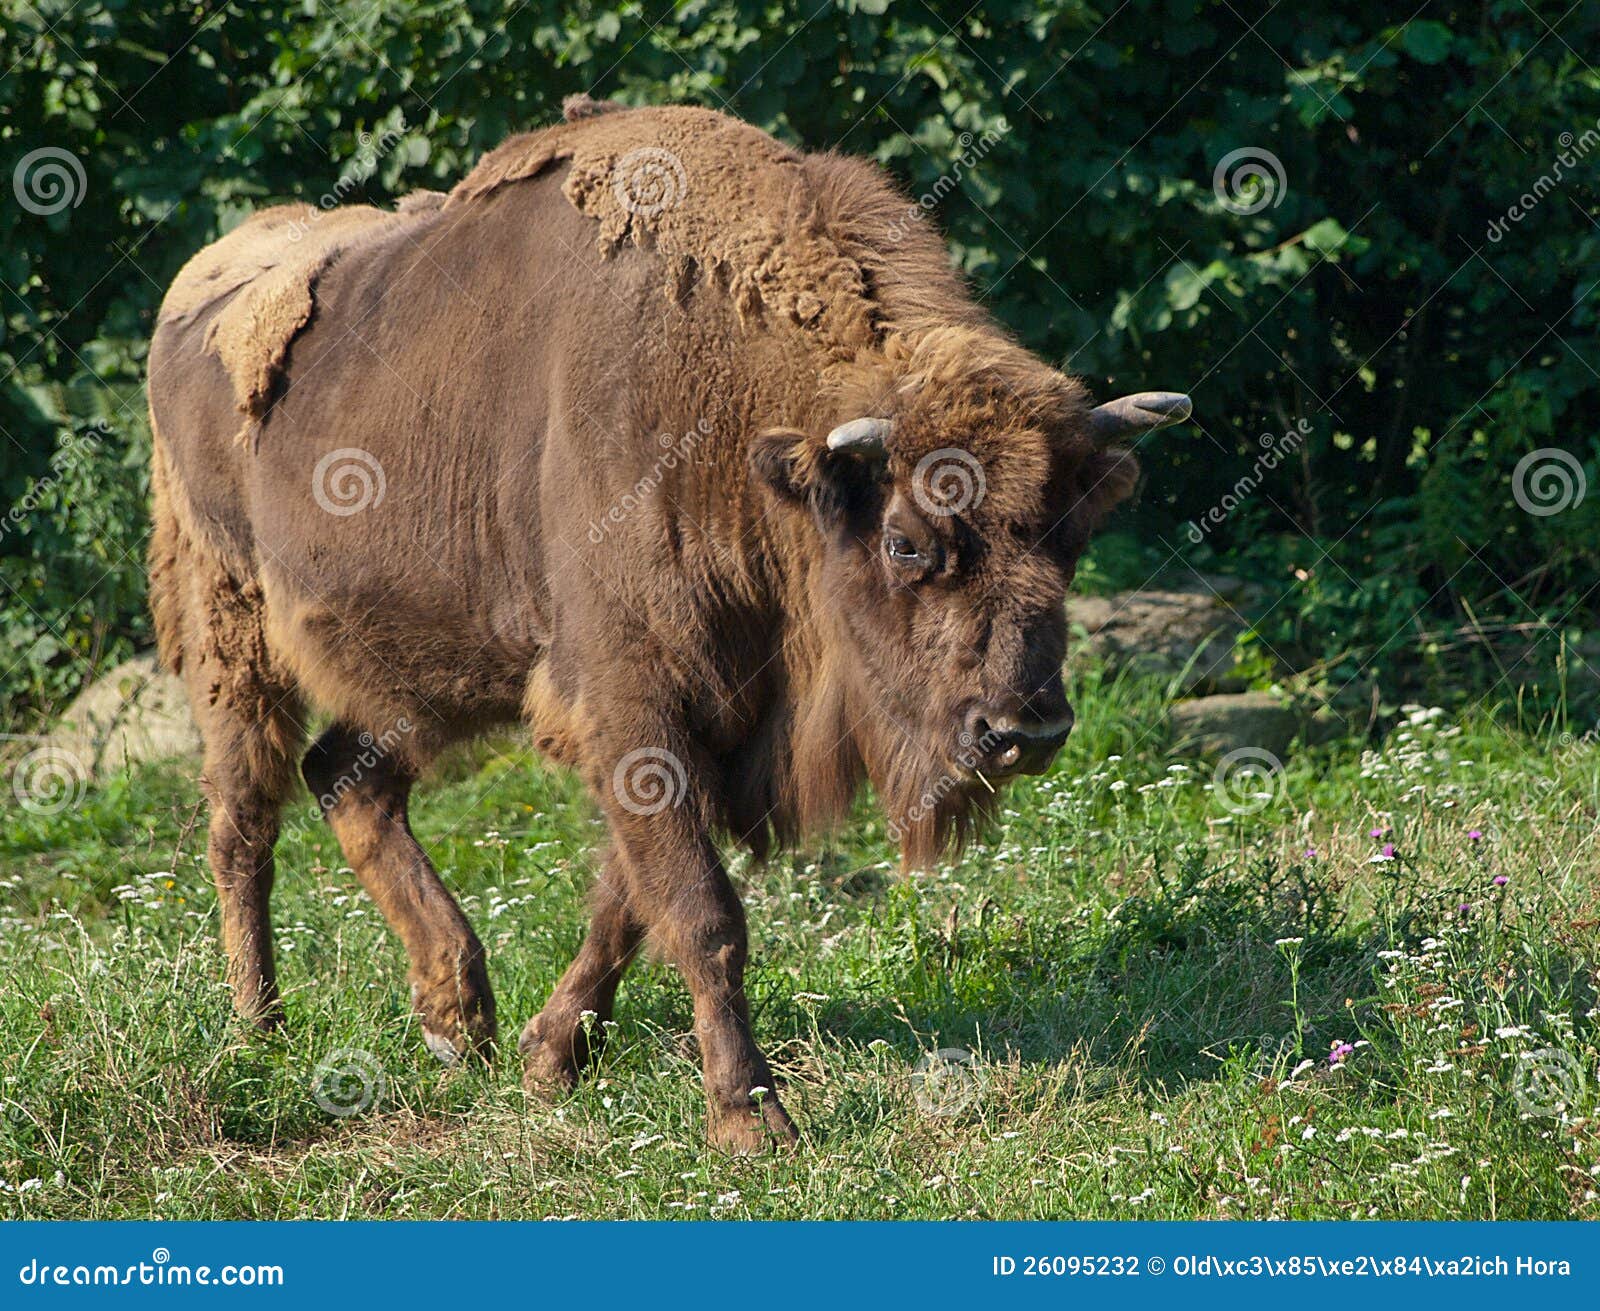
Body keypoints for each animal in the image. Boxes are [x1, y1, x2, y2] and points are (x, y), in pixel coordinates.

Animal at [146, 96, 1190, 1152]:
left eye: (1073, 535)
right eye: (905, 542)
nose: (1025, 729)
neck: (744, 426)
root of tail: (199, 281)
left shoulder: (708, 716)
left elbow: (629, 898)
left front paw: (549, 1057)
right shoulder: (634, 697)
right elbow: (700, 908)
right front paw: (750, 1117)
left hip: (421, 667)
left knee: (348, 779)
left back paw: (457, 1020)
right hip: (229, 625)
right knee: (243, 823)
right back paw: (260, 1028)